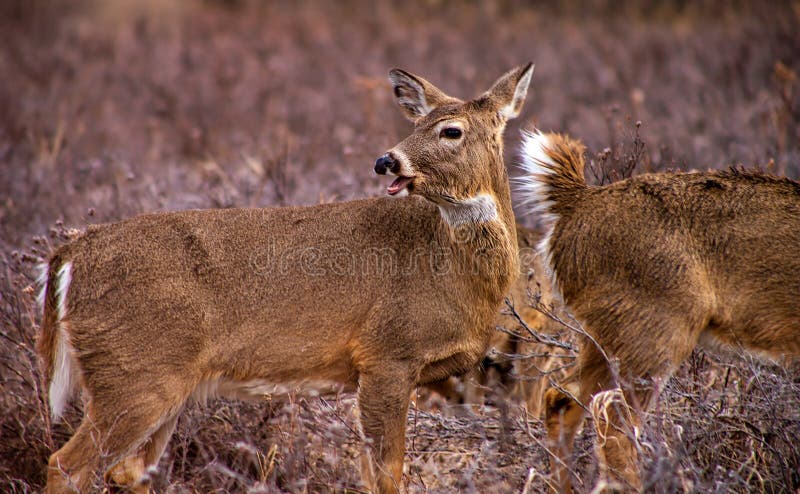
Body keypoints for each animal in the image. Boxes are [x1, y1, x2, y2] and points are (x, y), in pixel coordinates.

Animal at [36, 63, 534, 493]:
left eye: (451, 130)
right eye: (416, 125)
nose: (385, 161)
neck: (452, 274)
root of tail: (70, 255)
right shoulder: (386, 354)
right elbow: (386, 477)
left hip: (160, 384)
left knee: (128, 470)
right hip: (134, 372)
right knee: (66, 465)